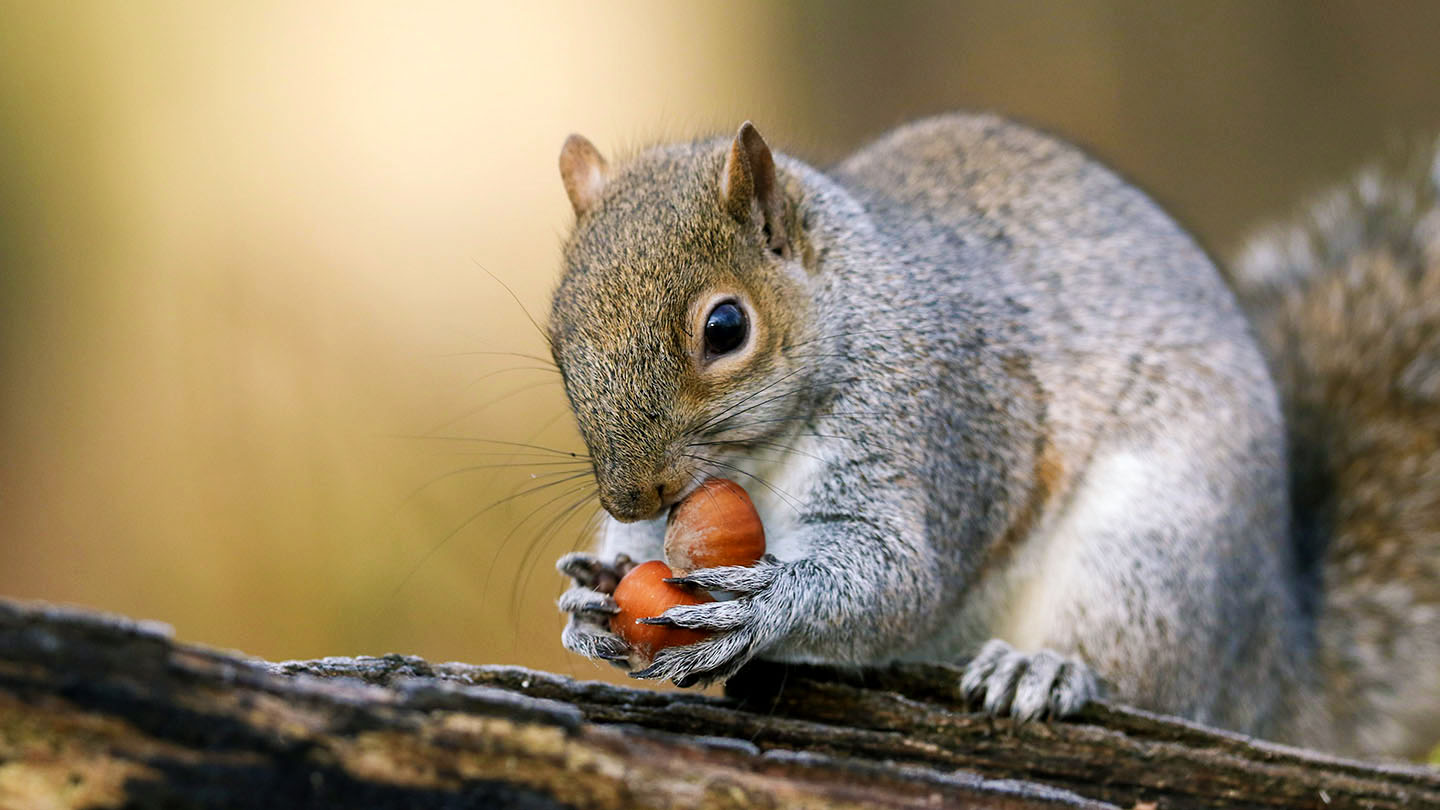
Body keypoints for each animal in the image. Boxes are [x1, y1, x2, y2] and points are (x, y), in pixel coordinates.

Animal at [546, 113, 1440, 760]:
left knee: (1151, 679)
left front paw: (761, 608)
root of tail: (1274, 656)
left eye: (726, 328)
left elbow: (904, 579)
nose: (631, 495)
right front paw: (600, 587)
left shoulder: (943, 423)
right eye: (557, 339)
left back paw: (1044, 667)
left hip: (1155, 547)